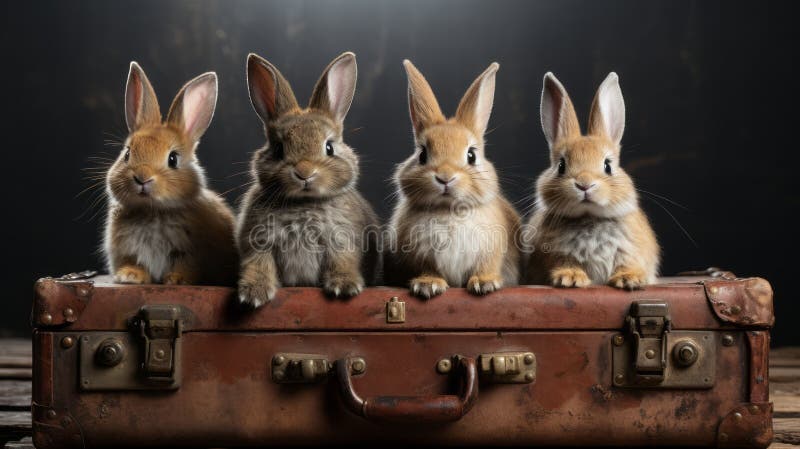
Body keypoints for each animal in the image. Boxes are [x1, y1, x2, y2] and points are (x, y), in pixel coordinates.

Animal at [104, 62, 238, 286]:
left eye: (173, 159)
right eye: (127, 153)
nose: (142, 177)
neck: (153, 211)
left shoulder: (191, 253)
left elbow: (186, 267)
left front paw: (176, 279)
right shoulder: (127, 251)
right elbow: (135, 263)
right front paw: (129, 276)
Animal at [236, 52, 380, 308]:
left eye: (329, 147)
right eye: (279, 149)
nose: (305, 172)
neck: (303, 202)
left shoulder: (342, 242)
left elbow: (342, 261)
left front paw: (344, 287)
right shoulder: (258, 243)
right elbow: (258, 265)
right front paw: (253, 294)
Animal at [384, 60, 522, 299]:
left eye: (471, 155)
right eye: (422, 155)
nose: (445, 177)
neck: (448, 210)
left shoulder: (491, 251)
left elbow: (486, 266)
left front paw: (484, 283)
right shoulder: (421, 257)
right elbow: (429, 270)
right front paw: (427, 285)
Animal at [524, 72, 660, 290]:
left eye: (608, 166)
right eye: (561, 166)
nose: (584, 184)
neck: (589, 217)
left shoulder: (632, 251)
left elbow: (629, 263)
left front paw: (629, 279)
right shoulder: (556, 256)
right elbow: (565, 263)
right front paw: (570, 278)